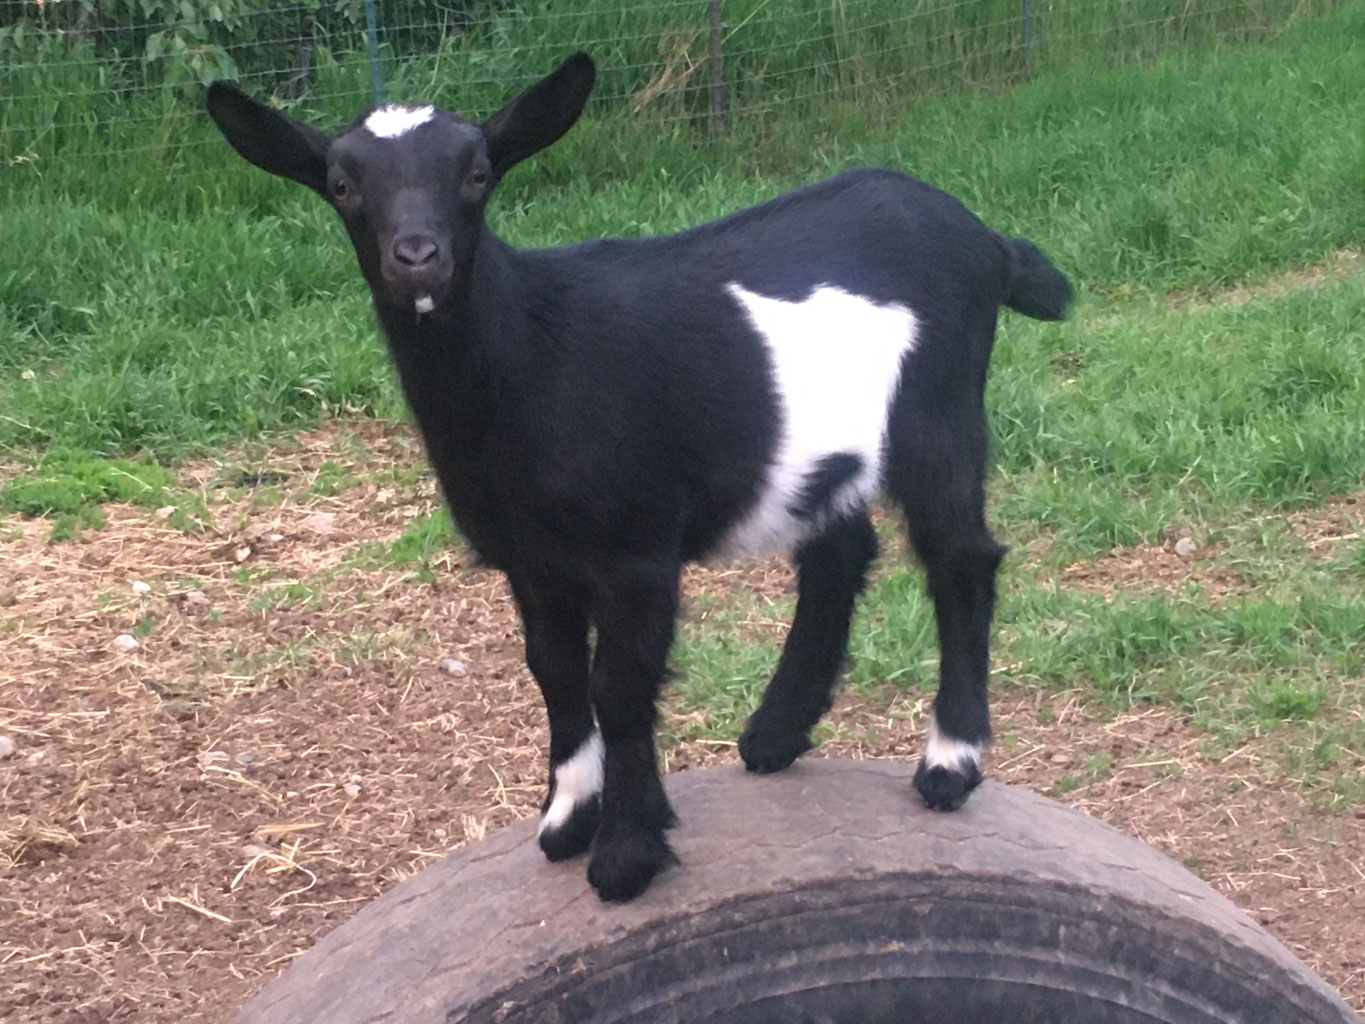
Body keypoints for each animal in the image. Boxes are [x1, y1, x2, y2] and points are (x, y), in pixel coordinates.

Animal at [207, 52, 1073, 903]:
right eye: (342, 184)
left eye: (477, 173)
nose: (417, 257)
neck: (533, 354)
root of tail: (987, 239)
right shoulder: (531, 560)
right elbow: (555, 675)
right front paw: (567, 818)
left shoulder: (636, 549)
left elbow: (619, 687)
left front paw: (626, 855)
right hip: (824, 454)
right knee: (838, 552)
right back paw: (774, 733)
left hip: (938, 405)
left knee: (959, 558)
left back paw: (949, 762)